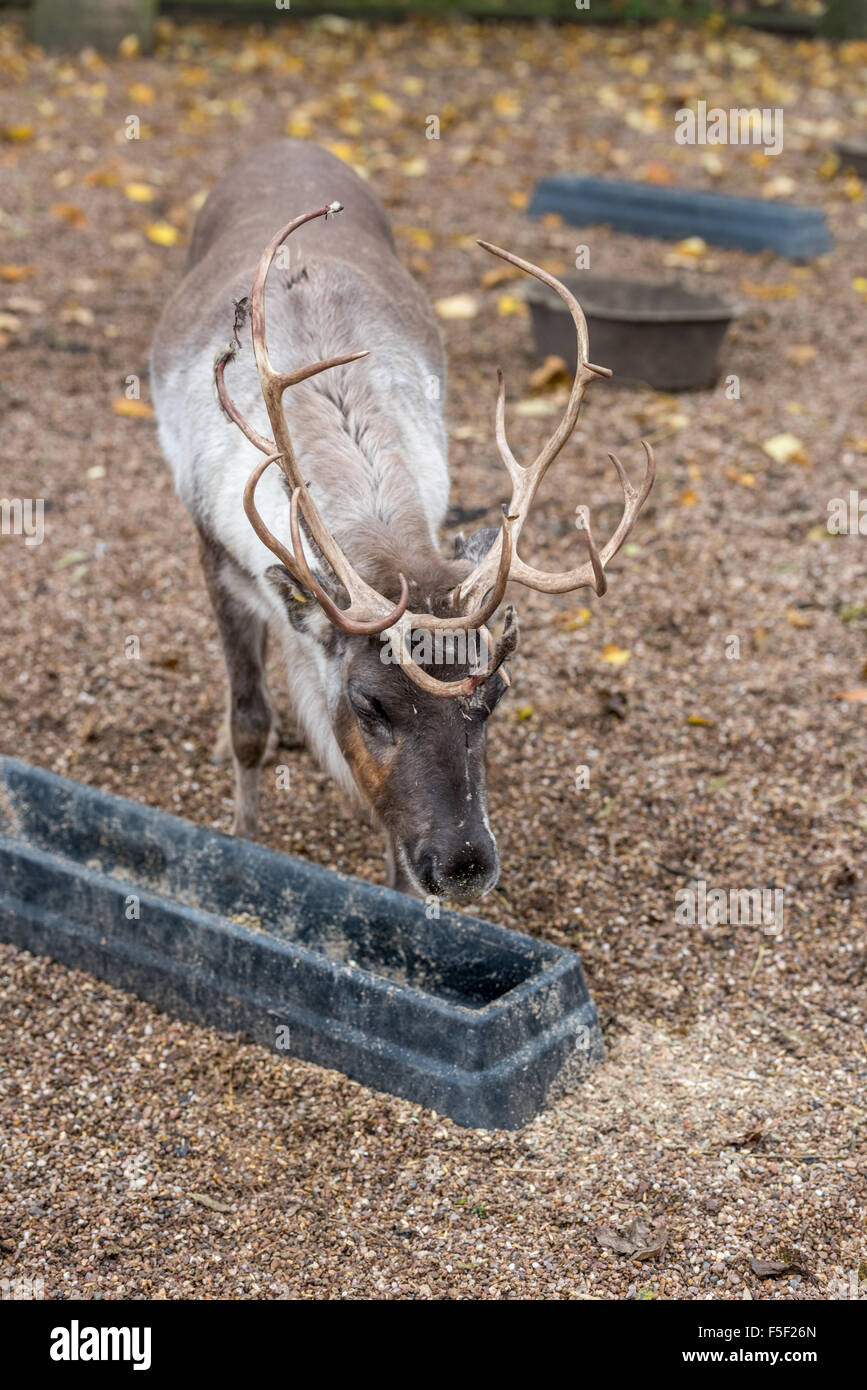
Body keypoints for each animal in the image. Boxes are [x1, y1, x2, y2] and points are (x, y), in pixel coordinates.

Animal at [151, 140, 654, 904]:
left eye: (494, 697)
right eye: (369, 706)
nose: (465, 865)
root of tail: (288, 141)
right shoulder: (217, 561)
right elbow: (249, 723)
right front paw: (242, 838)